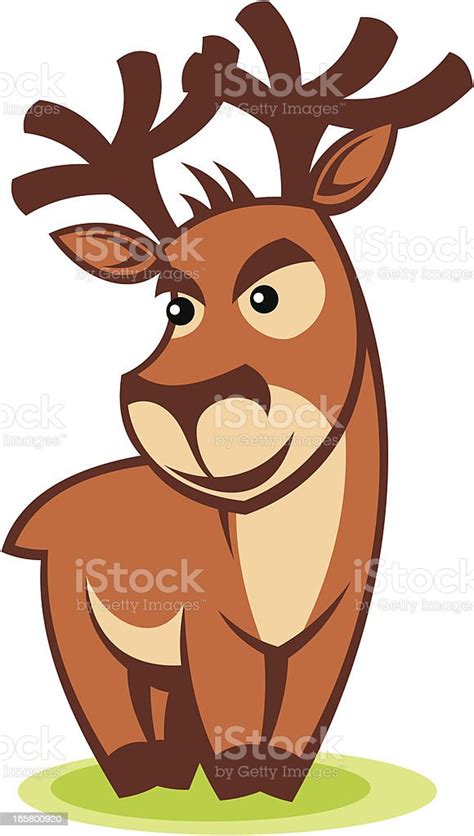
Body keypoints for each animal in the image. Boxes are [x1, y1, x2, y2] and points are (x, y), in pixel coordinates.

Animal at [4, 2, 471, 801]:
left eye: (268, 294)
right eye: (176, 306)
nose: (179, 401)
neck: (286, 552)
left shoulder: (335, 627)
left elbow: (296, 725)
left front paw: (272, 789)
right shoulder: (211, 629)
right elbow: (230, 717)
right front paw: (232, 788)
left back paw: (170, 773)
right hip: (71, 607)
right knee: (108, 701)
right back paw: (140, 776)